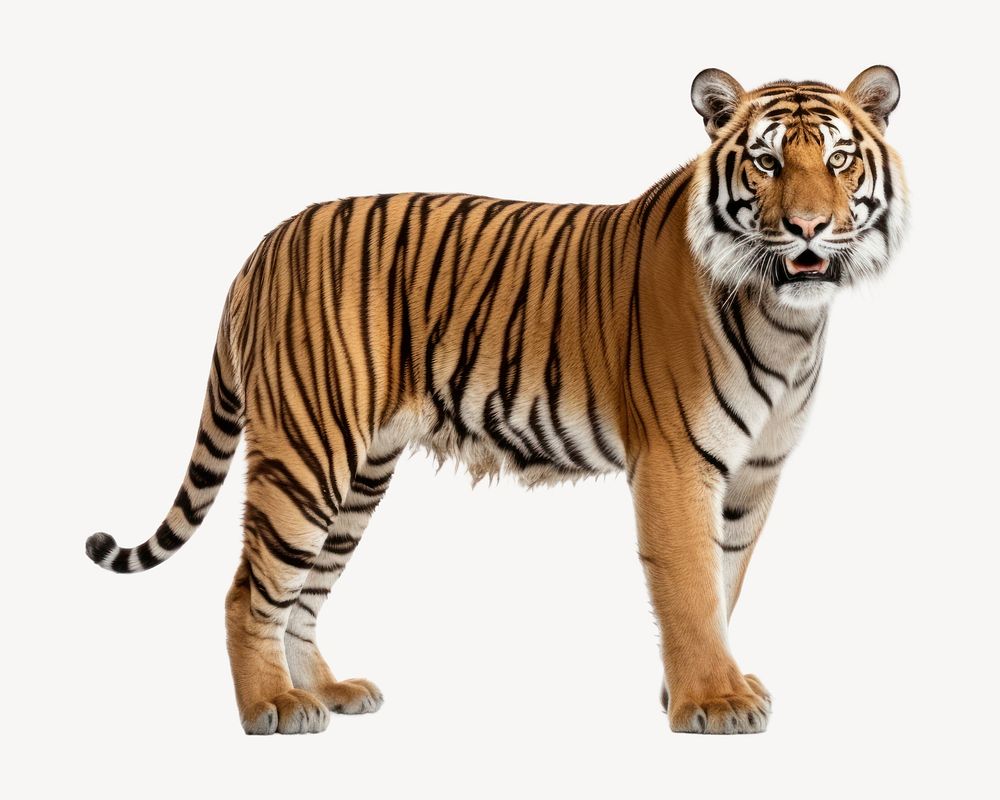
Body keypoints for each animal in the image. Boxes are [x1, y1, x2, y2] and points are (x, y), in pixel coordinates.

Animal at [85, 65, 908, 735]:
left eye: (838, 159)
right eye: (767, 161)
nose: (808, 228)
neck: (787, 319)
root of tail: (264, 246)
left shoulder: (754, 475)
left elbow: (725, 580)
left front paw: (699, 689)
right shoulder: (677, 463)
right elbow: (691, 587)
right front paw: (714, 702)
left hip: (359, 475)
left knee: (303, 591)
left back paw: (328, 691)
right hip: (308, 450)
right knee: (249, 589)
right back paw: (273, 707)